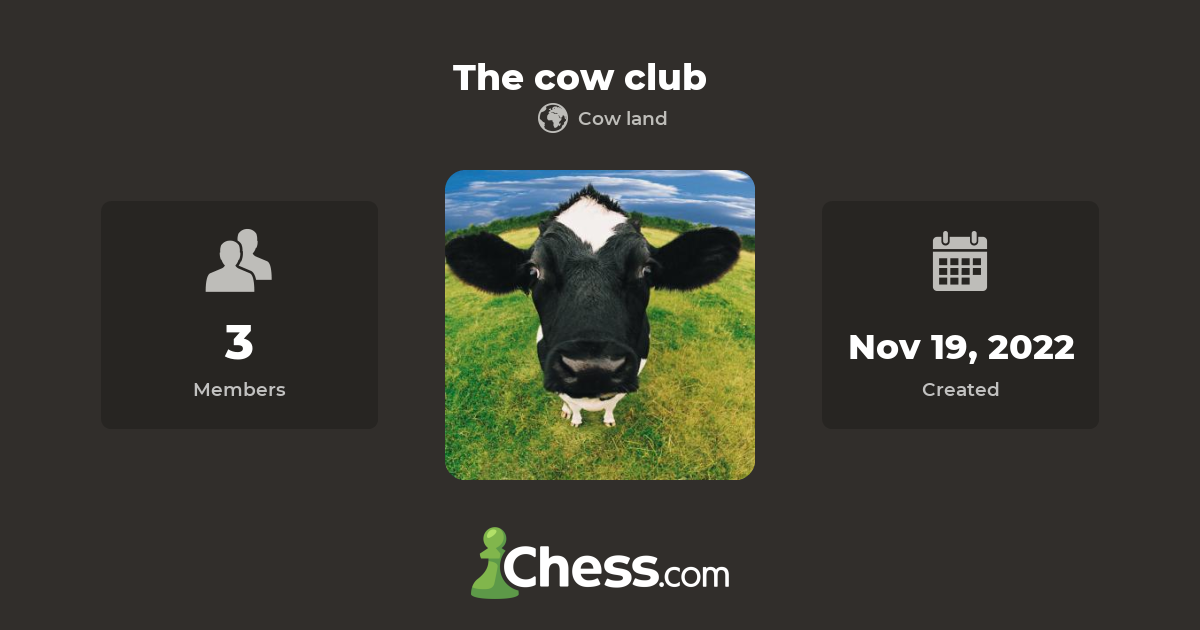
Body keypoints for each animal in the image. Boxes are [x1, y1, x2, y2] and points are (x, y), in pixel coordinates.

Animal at [445, 185, 741, 427]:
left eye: (646, 270)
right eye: (534, 271)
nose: (592, 368)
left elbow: (612, 402)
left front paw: (608, 418)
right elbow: (571, 401)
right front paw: (574, 417)